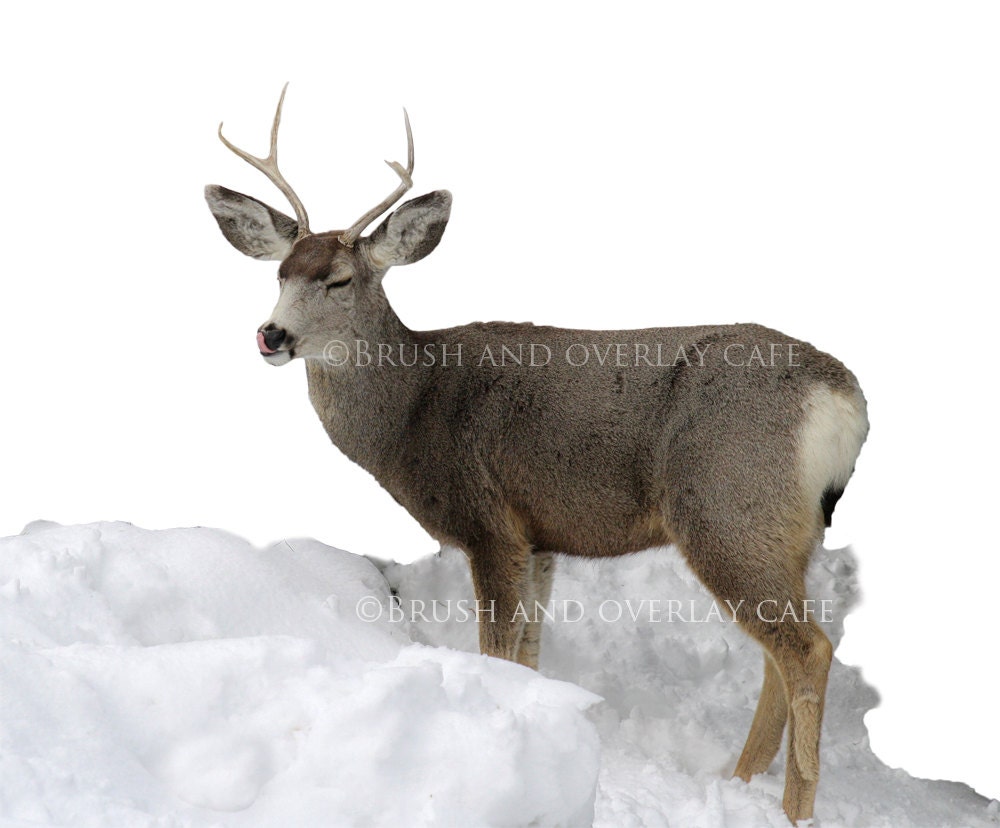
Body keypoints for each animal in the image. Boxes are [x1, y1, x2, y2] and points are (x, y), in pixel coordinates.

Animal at [204, 85, 869, 824]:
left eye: (340, 280)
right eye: (280, 273)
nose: (271, 334)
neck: (413, 405)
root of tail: (842, 398)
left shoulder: (487, 519)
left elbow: (497, 648)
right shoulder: (540, 535)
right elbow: (529, 652)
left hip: (728, 505)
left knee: (807, 649)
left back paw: (792, 808)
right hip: (784, 529)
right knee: (778, 654)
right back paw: (740, 782)